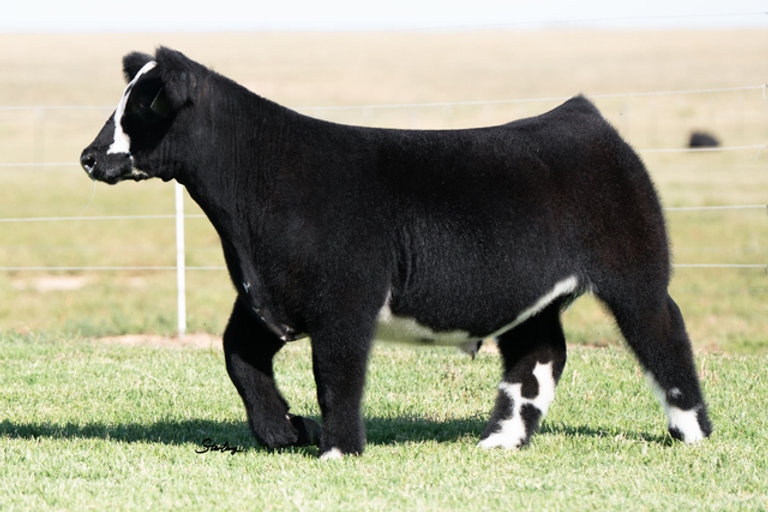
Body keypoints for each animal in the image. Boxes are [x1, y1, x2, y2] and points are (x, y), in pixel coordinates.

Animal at [80, 47, 712, 458]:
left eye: (146, 105)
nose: (89, 156)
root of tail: (580, 114)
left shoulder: (345, 301)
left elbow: (336, 375)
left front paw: (337, 451)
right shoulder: (266, 295)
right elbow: (239, 357)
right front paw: (286, 431)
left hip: (635, 274)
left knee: (665, 336)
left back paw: (692, 433)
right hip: (532, 297)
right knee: (540, 354)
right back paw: (498, 441)